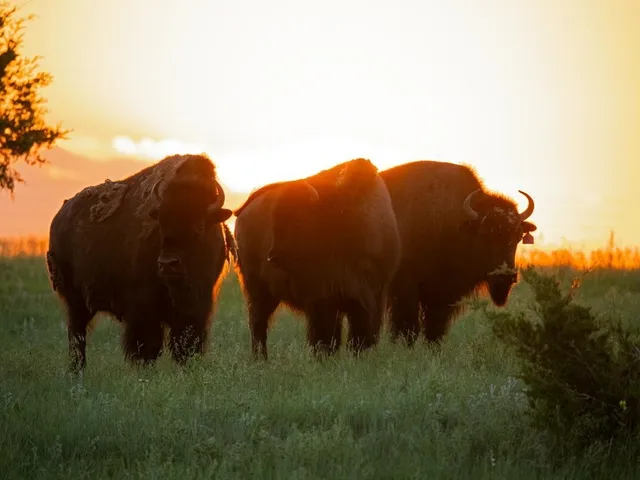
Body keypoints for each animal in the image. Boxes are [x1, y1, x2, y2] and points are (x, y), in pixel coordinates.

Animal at [46, 154, 235, 372]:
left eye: (200, 226)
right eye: (161, 225)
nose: (167, 264)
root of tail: (59, 218)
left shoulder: (198, 306)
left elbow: (186, 343)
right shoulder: (143, 309)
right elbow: (148, 345)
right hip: (76, 301)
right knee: (77, 334)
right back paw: (77, 369)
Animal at [233, 158, 401, 359]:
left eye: (298, 219)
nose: (272, 257)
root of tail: (244, 211)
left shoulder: (372, 296)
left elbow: (360, 333)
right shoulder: (323, 299)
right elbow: (325, 335)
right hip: (259, 290)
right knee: (258, 323)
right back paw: (261, 359)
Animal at [380, 160, 536, 345]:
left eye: (518, 236)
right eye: (484, 233)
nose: (506, 276)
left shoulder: (444, 295)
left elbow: (435, 328)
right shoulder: (406, 289)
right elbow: (407, 327)